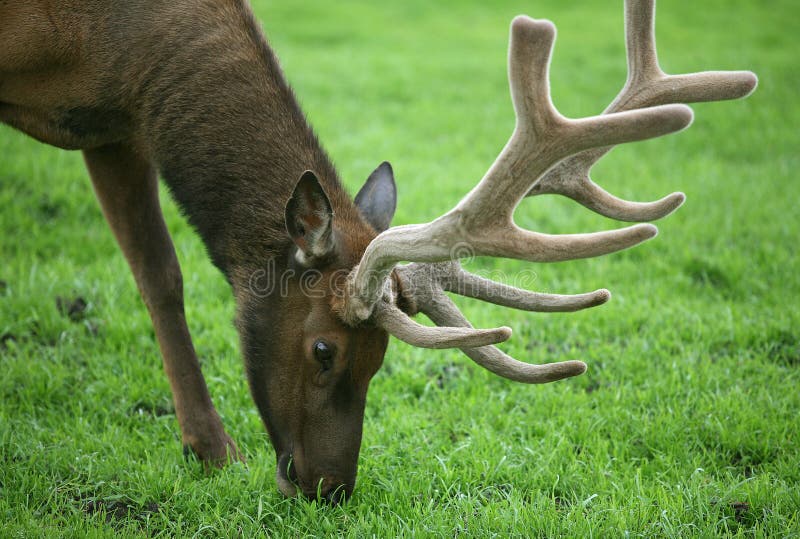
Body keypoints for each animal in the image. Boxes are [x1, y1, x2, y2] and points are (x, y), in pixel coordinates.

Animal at [0, 0, 755, 504]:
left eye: (381, 357)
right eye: (323, 349)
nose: (331, 487)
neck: (117, 46)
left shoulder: (113, 125)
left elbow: (159, 275)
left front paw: (209, 451)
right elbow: (164, 274)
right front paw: (213, 448)